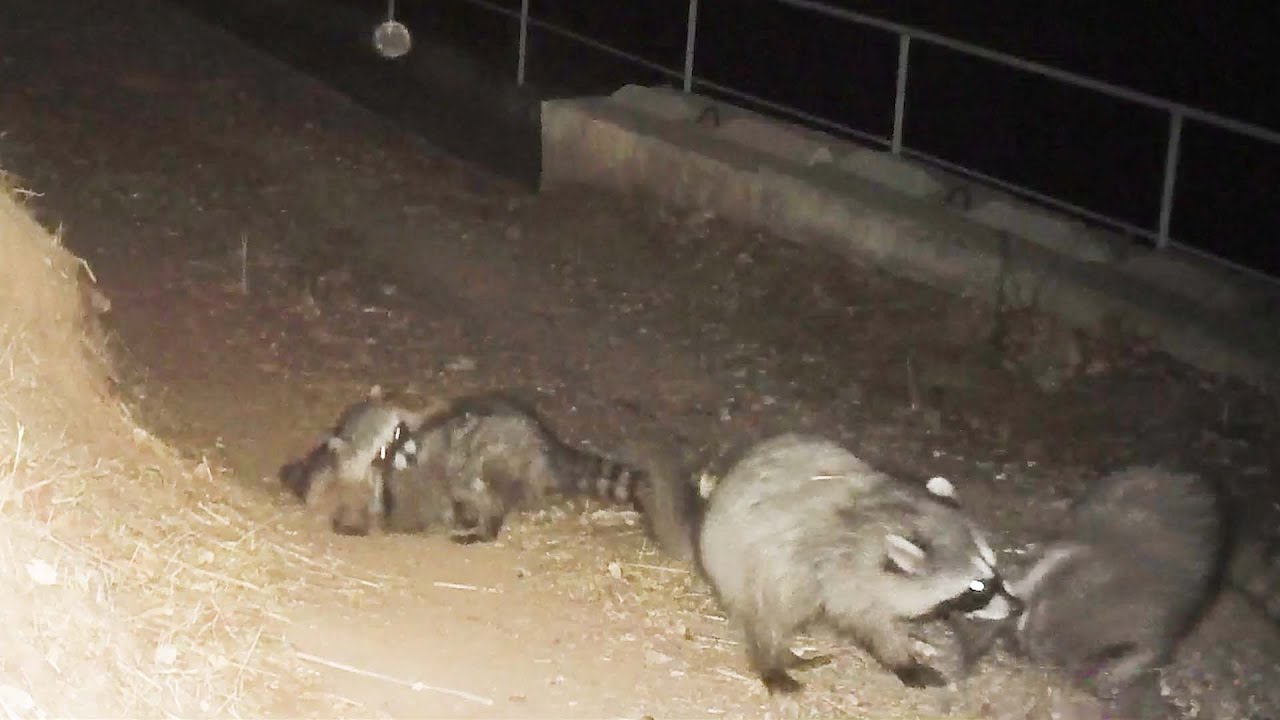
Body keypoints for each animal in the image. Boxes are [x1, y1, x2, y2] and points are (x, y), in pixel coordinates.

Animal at [379, 392, 658, 544]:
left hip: (506, 459)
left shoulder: (444, 474)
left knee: (487, 486)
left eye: (390, 499)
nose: (391, 527)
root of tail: (548, 445)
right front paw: (460, 517)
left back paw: (487, 528)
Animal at [697, 433, 1015, 694]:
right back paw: (773, 657)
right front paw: (901, 659)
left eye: (994, 565)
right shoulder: (836, 569)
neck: (897, 515)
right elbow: (870, 622)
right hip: (743, 557)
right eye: (977, 586)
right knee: (769, 610)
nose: (1017, 607)